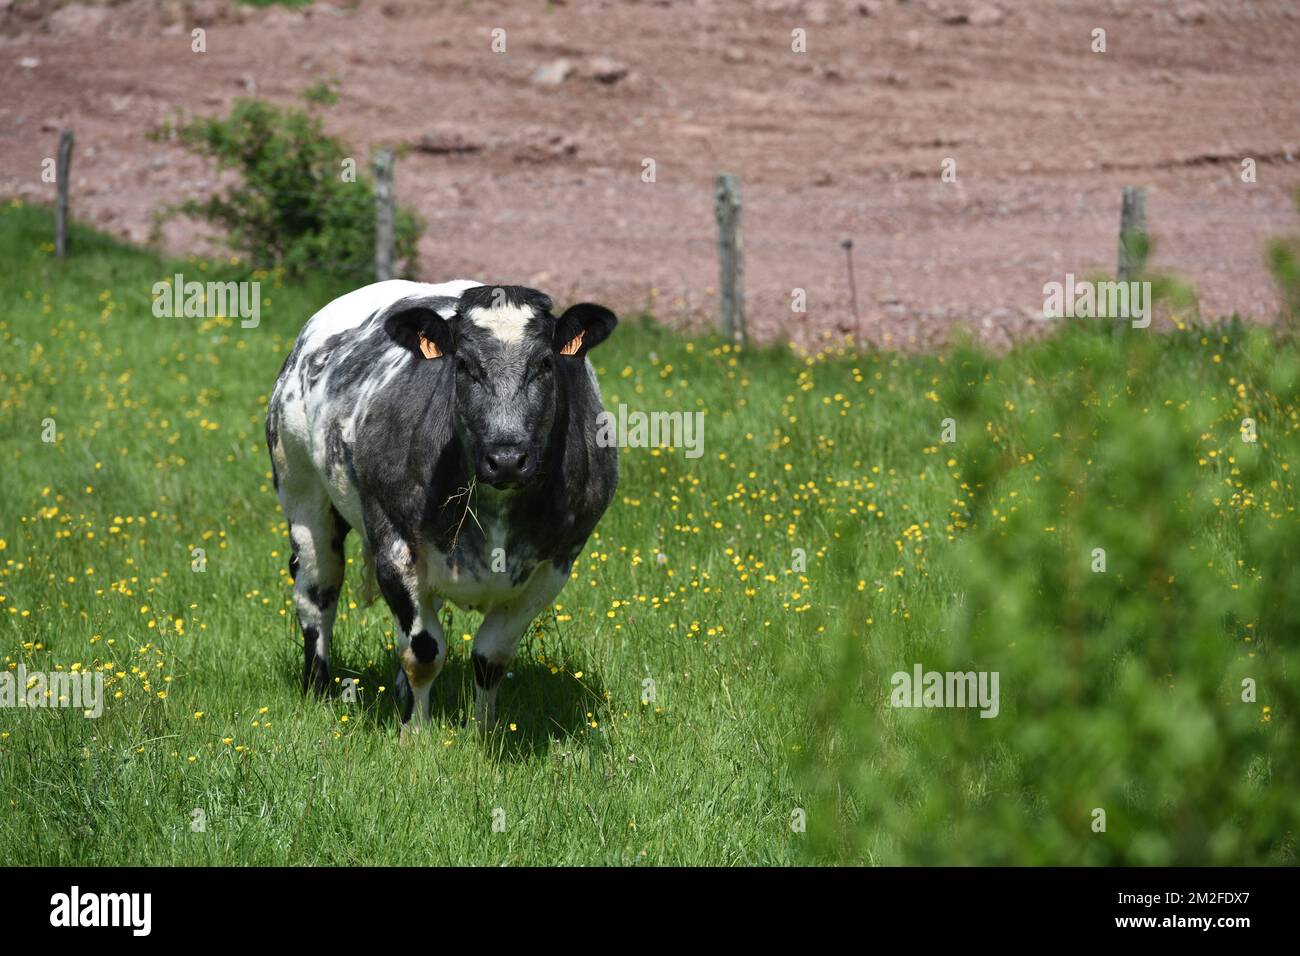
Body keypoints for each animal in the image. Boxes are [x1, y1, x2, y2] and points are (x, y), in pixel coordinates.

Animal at [265, 280, 619, 737]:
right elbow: (423, 651)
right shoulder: (395, 544)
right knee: (316, 591)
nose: (506, 458)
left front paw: (483, 733)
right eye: (464, 365)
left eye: (544, 363)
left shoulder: (556, 562)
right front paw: (414, 734)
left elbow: (491, 657)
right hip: (302, 490)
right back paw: (318, 688)